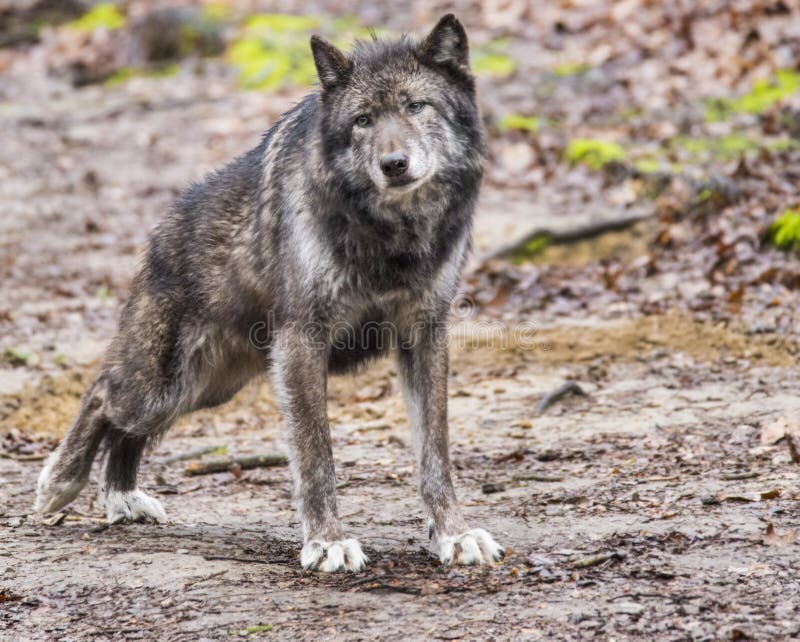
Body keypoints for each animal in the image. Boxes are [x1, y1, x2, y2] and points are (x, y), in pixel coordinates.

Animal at [34, 14, 504, 572]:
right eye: (363, 120)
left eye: (417, 106)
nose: (394, 164)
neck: (392, 237)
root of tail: (160, 229)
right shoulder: (303, 341)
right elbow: (316, 455)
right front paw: (327, 542)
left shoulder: (424, 336)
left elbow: (435, 453)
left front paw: (453, 534)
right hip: (162, 386)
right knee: (101, 392)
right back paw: (61, 483)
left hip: (207, 388)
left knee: (124, 426)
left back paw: (121, 496)